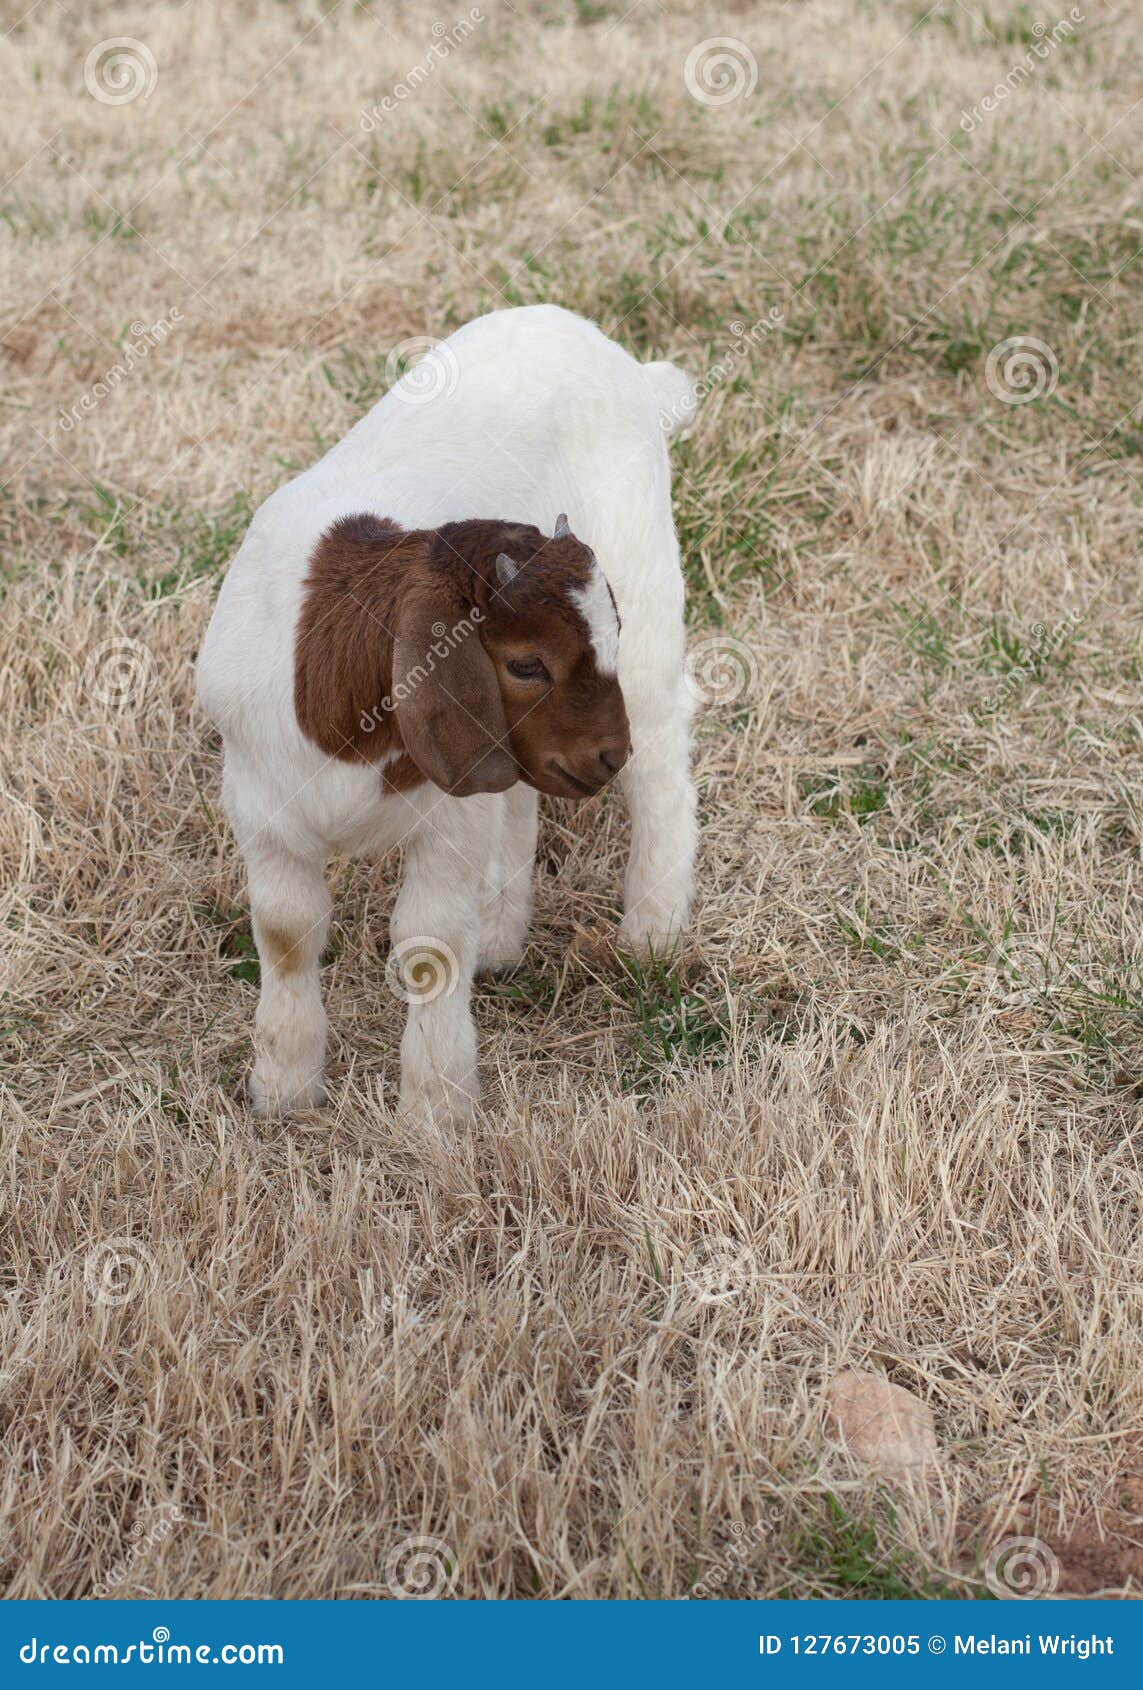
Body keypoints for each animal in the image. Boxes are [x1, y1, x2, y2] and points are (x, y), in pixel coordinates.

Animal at [195, 304, 698, 1130]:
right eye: (525, 664)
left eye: (604, 641)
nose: (604, 755)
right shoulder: (261, 806)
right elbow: (287, 932)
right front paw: (284, 1088)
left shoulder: (447, 819)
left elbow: (429, 944)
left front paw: (436, 1109)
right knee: (523, 798)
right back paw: (501, 936)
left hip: (648, 583)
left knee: (662, 758)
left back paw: (652, 928)